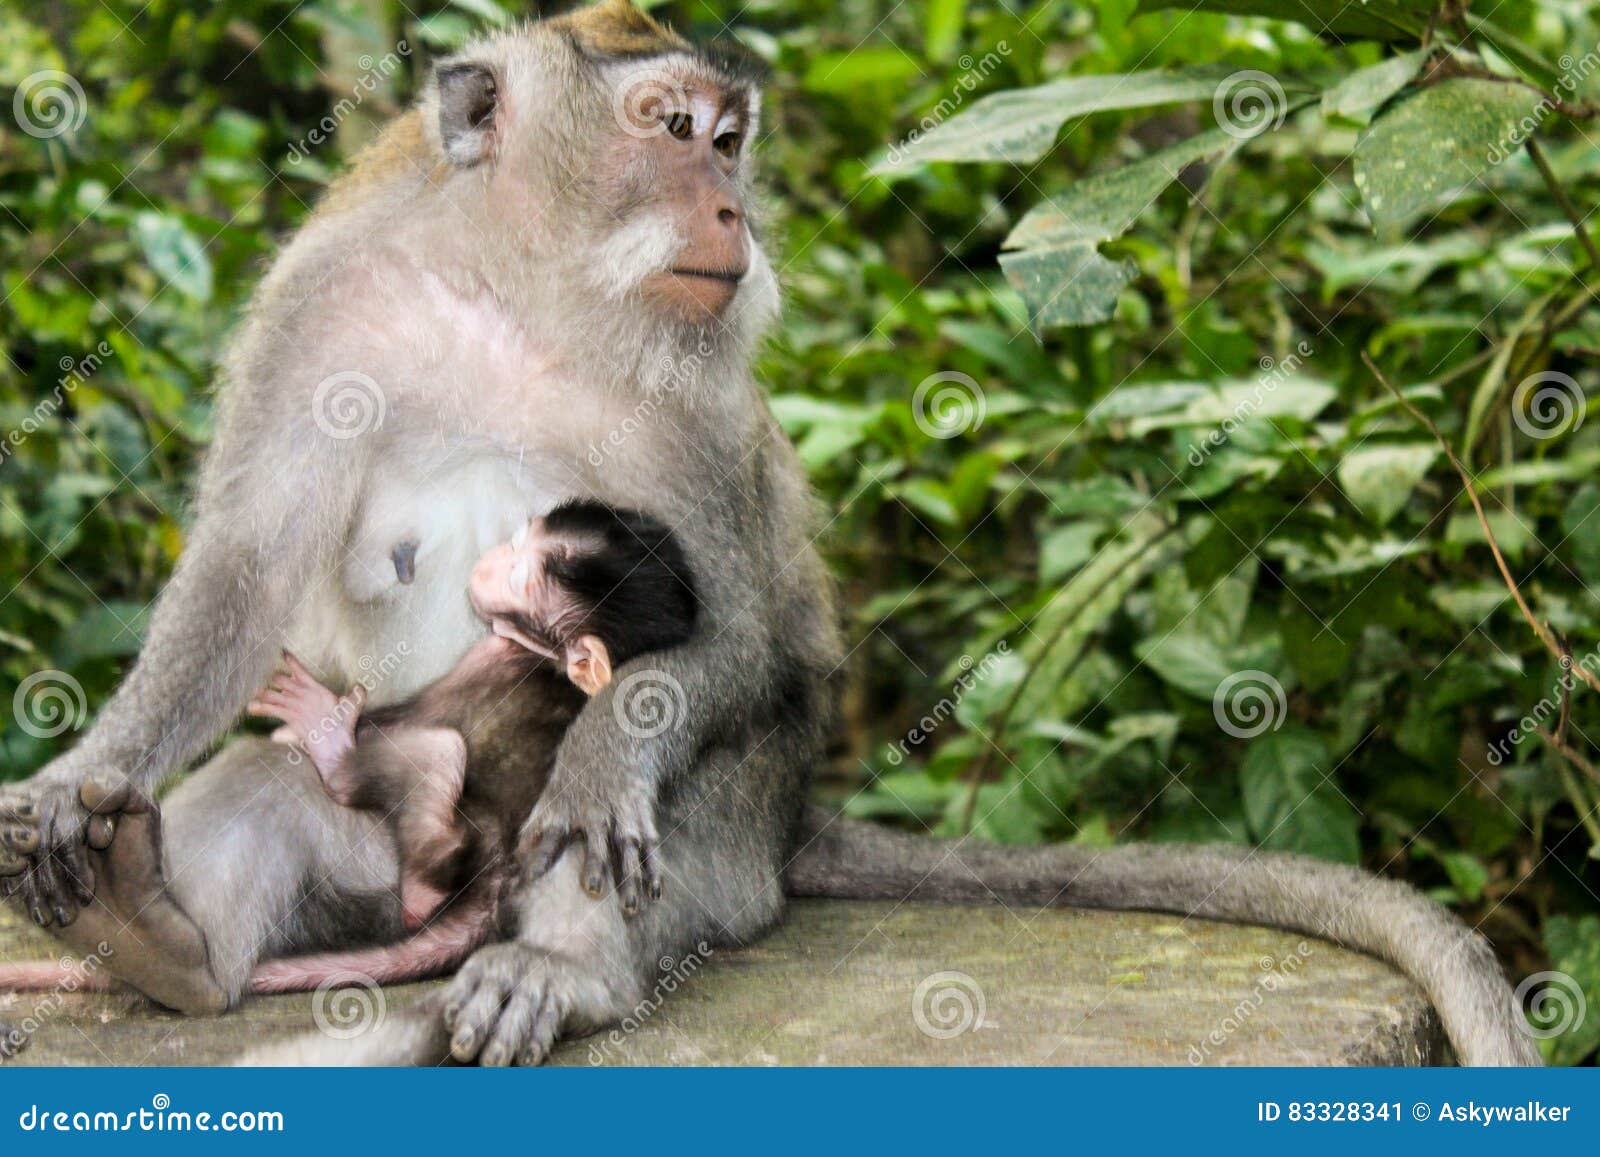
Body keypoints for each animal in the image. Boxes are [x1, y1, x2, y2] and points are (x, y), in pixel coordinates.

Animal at [0, 1, 1538, 1069]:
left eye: (728, 140)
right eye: (673, 130)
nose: (732, 204)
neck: (524, 290)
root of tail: (798, 826)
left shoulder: (699, 404)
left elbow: (728, 632)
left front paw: (603, 757)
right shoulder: (324, 308)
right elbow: (252, 564)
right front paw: (92, 771)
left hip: (735, 841)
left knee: (664, 782)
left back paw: (565, 962)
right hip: (382, 876)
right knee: (287, 785)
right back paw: (157, 933)